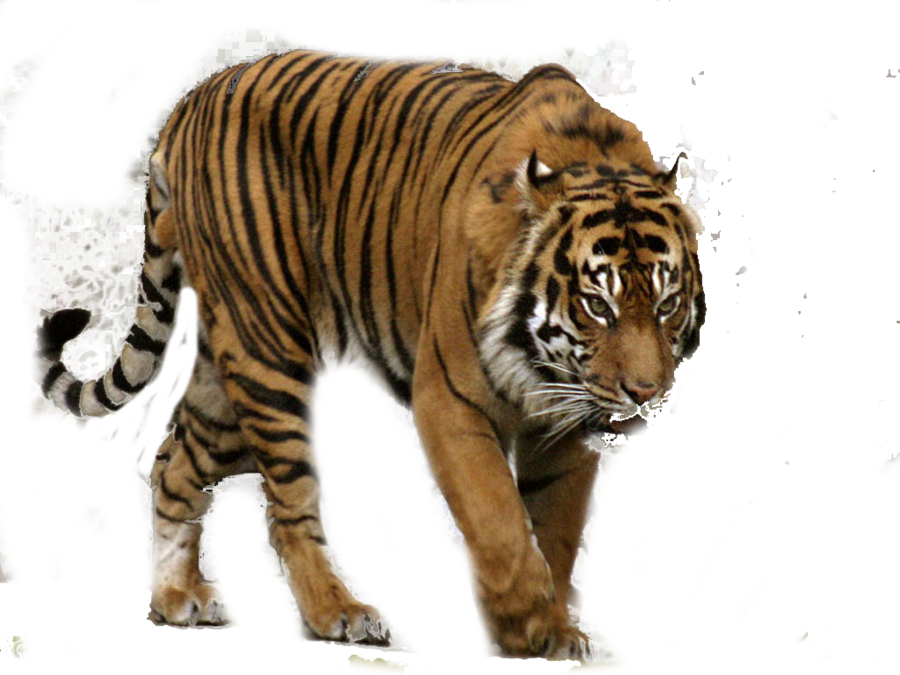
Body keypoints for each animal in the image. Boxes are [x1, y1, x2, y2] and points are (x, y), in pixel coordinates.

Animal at [28, 49, 705, 659]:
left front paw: (553, 627)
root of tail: (192, 103)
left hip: (225, 367)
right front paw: (520, 618)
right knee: (290, 503)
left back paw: (175, 598)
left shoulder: (564, 424)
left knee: (174, 463)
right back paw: (339, 611)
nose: (646, 391)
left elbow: (555, 529)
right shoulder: (451, 400)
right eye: (598, 306)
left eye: (668, 304)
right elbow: (498, 517)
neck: (546, 367)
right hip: (270, 352)